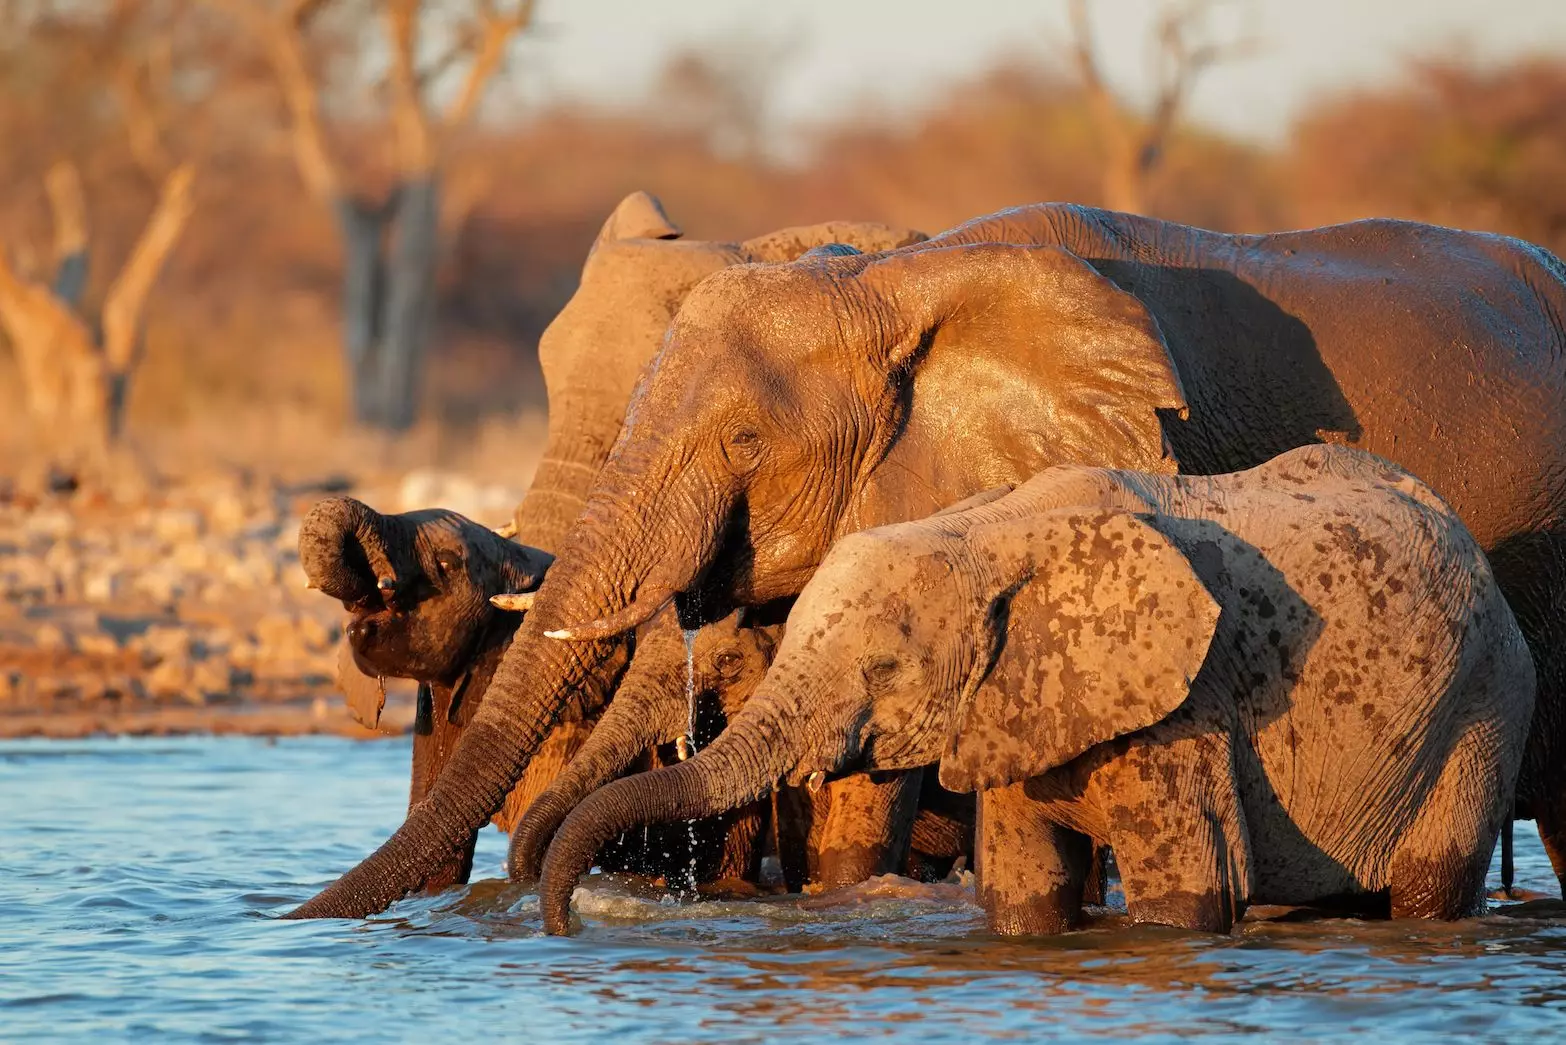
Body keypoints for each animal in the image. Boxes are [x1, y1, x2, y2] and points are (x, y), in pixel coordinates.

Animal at [535, 444, 1528, 933]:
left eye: (884, 670)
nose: (565, 927)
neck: (983, 532)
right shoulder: (1011, 704)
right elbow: (1026, 895)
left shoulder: (1184, 706)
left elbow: (1190, 891)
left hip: (1482, 708)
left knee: (1431, 879)